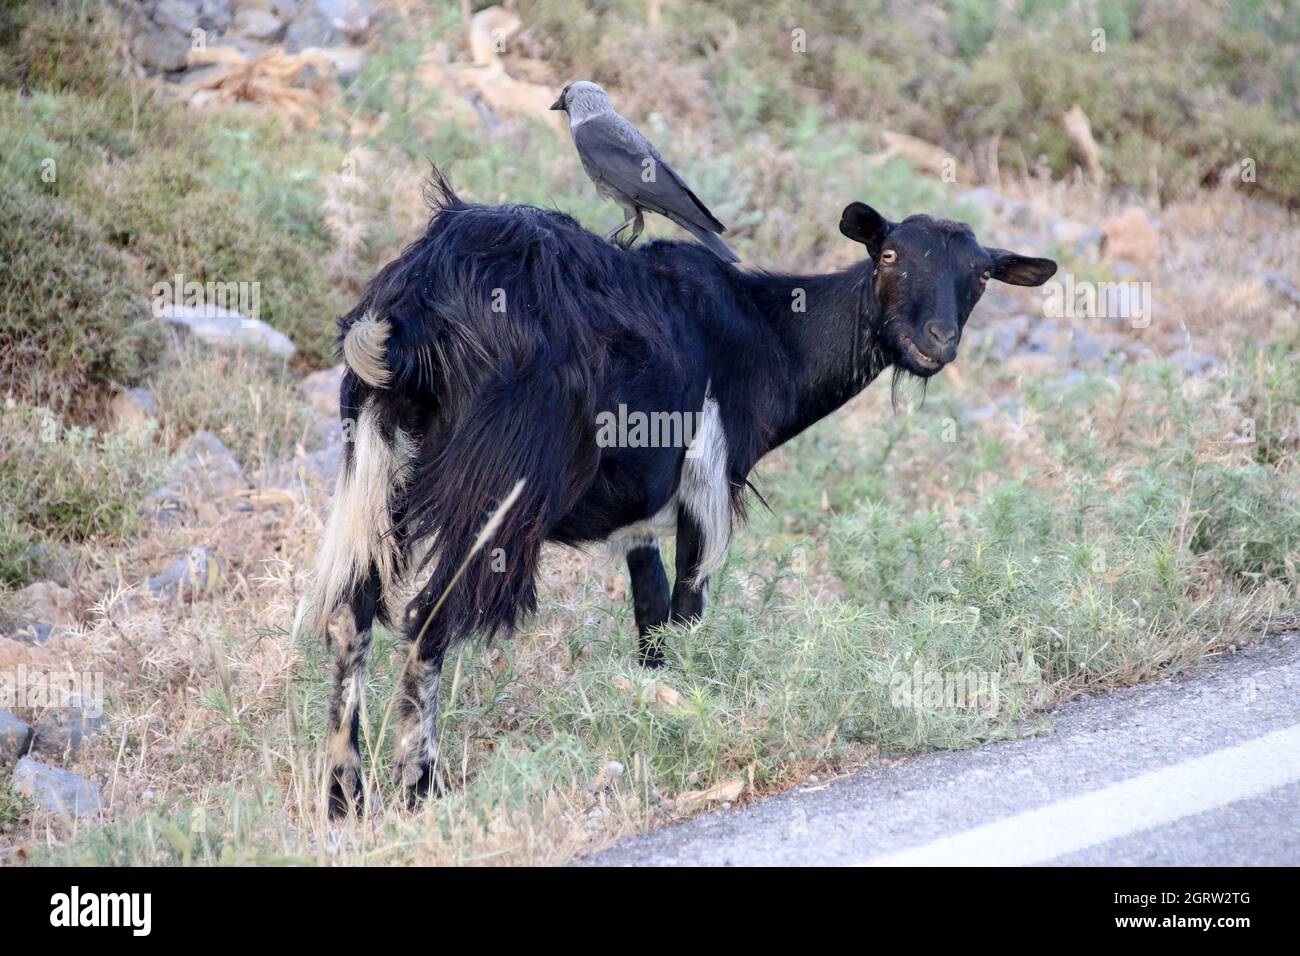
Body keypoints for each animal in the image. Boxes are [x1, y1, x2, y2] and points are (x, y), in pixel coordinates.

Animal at [307, 174, 1057, 814]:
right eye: (891, 254)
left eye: (980, 276)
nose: (937, 342)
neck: (768, 335)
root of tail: (420, 304)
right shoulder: (707, 482)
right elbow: (688, 611)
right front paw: (692, 719)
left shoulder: (640, 516)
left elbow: (651, 620)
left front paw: (650, 711)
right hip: (502, 479)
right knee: (427, 615)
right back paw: (419, 788)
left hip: (376, 463)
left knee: (352, 611)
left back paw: (346, 798)